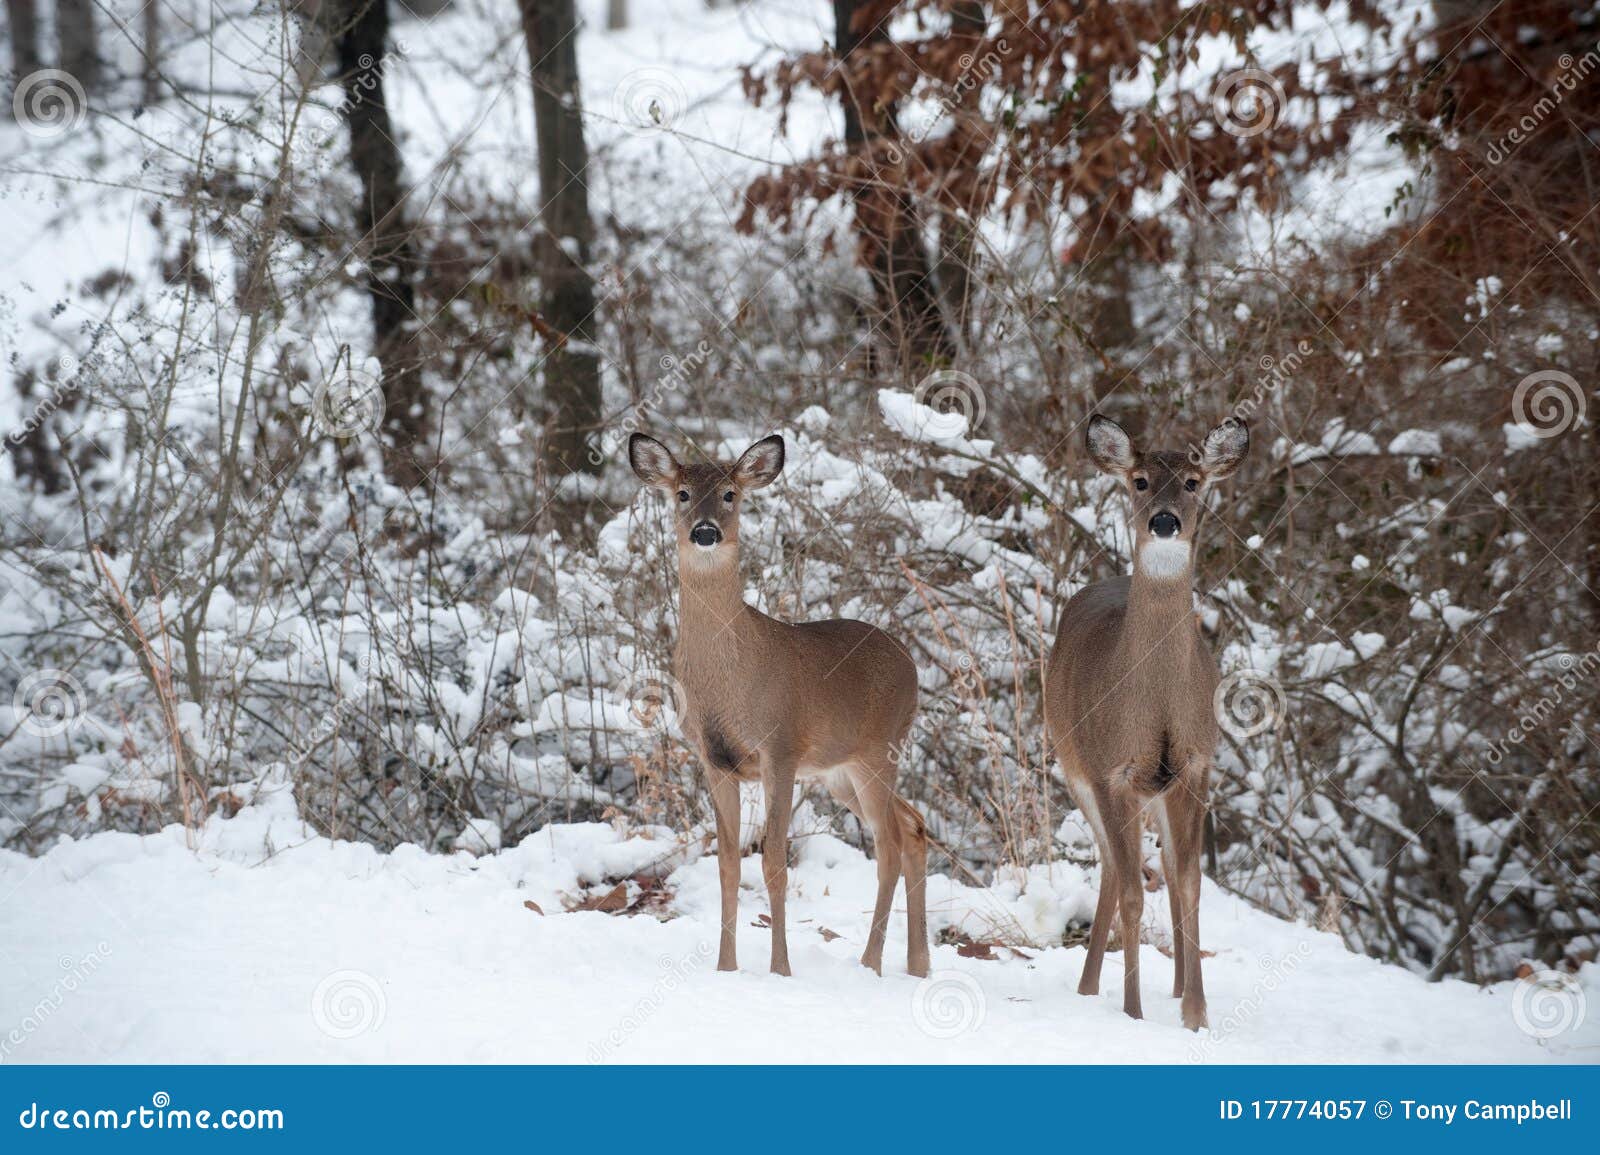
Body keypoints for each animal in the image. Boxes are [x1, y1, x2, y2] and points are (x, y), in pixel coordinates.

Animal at [628, 432, 930, 979]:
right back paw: (918, 966)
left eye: (730, 494)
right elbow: (728, 864)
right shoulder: (715, 760)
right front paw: (726, 969)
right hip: (841, 771)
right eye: (682, 493)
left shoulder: (781, 749)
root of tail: (911, 663)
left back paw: (871, 963)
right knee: (913, 825)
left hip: (881, 751)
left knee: (890, 846)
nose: (705, 531)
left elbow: (772, 863)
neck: (729, 679)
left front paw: (780, 971)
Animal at [1043, 413, 1249, 1031]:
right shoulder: (1112, 769)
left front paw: (1197, 1014)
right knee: (1115, 868)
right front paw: (1133, 1013)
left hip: (1156, 790)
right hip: (1077, 769)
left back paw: (1175, 987)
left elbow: (1191, 884)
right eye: (1138, 481)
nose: (1163, 521)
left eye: (1192, 481)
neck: (1154, 701)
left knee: (1163, 872)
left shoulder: (1196, 766)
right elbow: (1135, 893)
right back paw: (1090, 988)